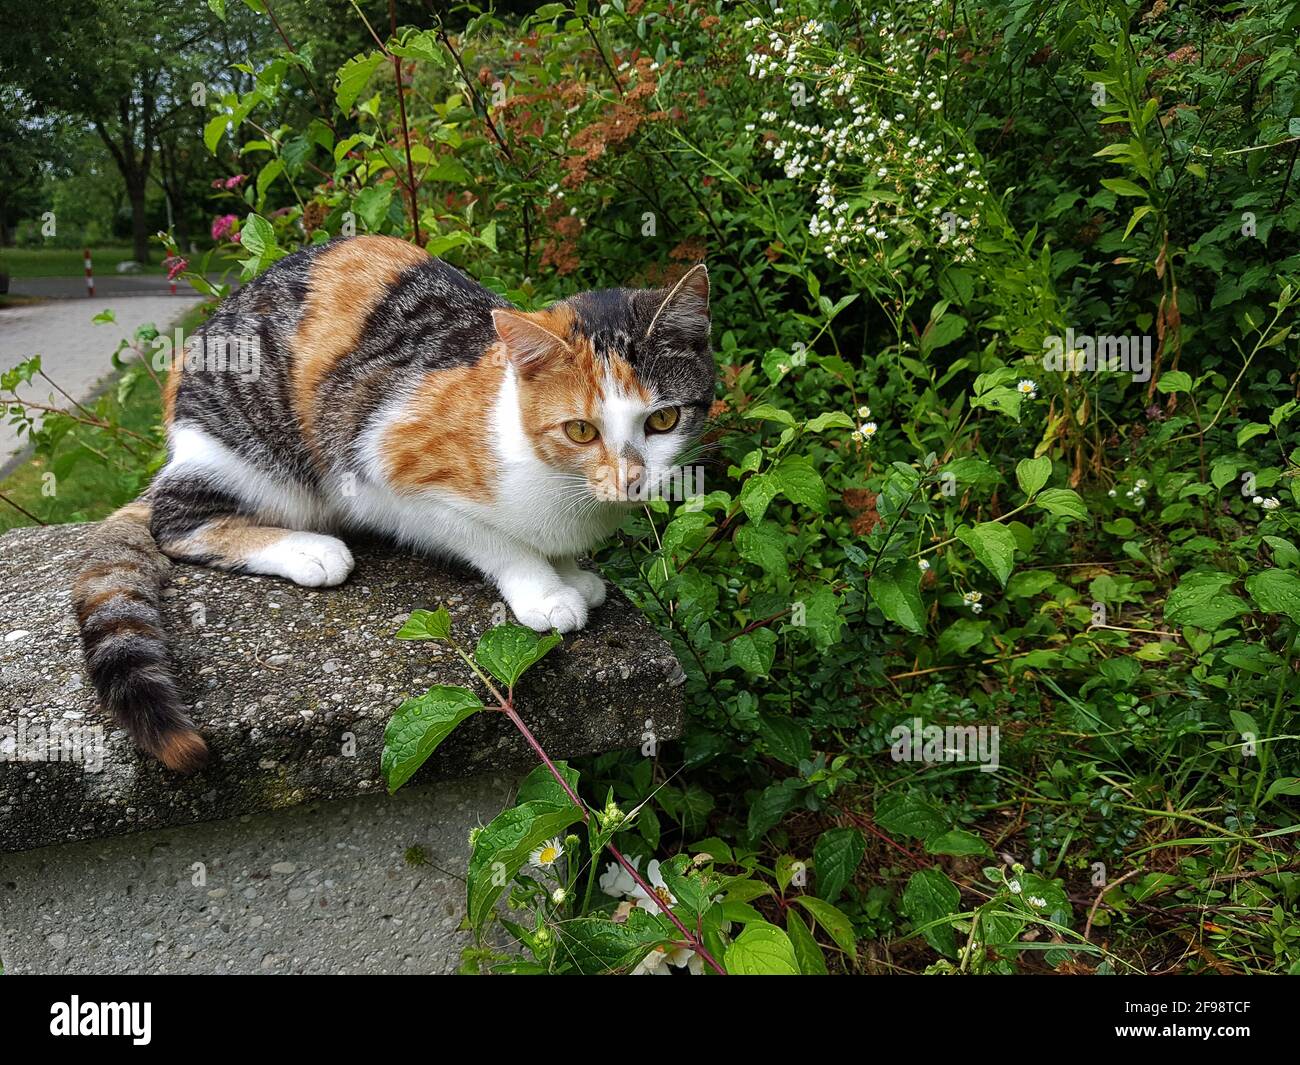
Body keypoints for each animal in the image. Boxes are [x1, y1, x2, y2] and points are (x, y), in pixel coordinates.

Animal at [72, 237, 717, 775]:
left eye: (662, 421)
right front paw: (544, 590)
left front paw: (571, 573)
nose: (631, 479)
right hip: (255, 456)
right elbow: (496, 542)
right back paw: (309, 550)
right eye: (581, 430)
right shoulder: (389, 473)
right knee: (175, 522)